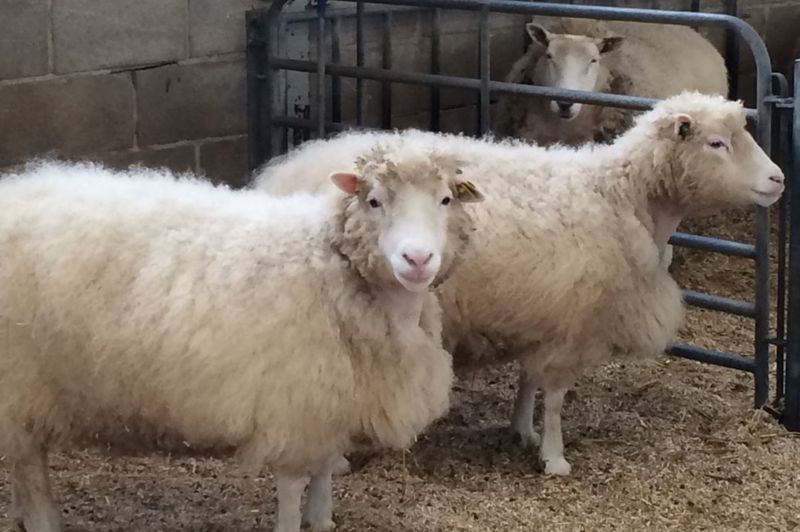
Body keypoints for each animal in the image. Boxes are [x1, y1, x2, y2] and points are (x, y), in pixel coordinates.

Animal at [0, 145, 485, 532]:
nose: (417, 259)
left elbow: (325, 471)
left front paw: (322, 519)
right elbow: (292, 485)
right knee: (29, 466)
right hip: (20, 383)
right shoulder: (295, 406)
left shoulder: (331, 402)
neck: (329, 264)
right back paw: (42, 522)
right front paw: (293, 524)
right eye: (374, 201)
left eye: (445, 199)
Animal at [251, 92, 785, 476]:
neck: (623, 196)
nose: (778, 179)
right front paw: (554, 457)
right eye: (716, 143)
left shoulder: (543, 313)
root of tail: (281, 175)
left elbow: (529, 380)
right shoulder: (575, 322)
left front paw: (522, 430)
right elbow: (556, 397)